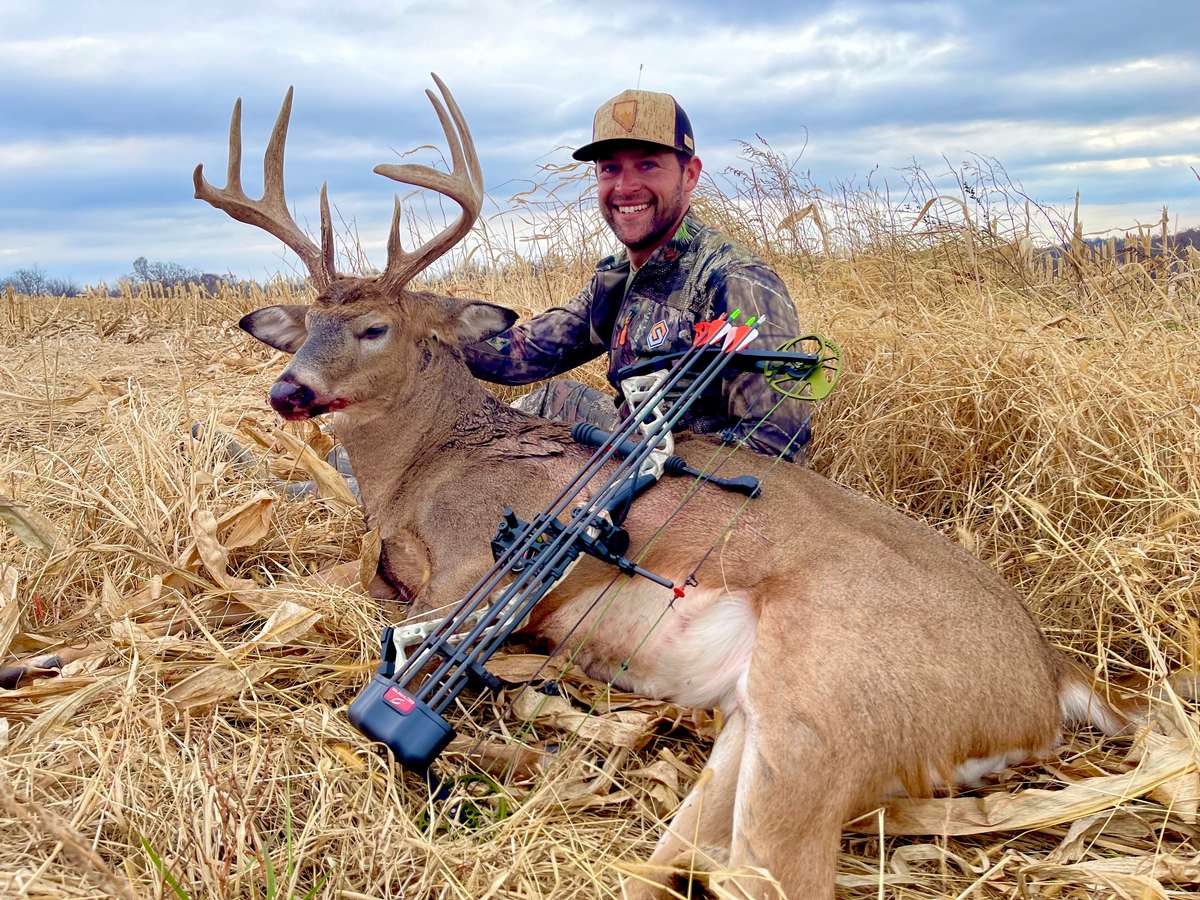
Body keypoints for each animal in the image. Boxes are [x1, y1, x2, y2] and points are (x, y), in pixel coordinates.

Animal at [195, 75, 1128, 900]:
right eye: (304, 324)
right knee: (677, 860)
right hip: (756, 725)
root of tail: (1051, 675)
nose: (288, 391)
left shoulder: (469, 564)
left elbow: (357, 624)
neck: (424, 464)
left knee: (762, 872)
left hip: (826, 708)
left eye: (373, 327)